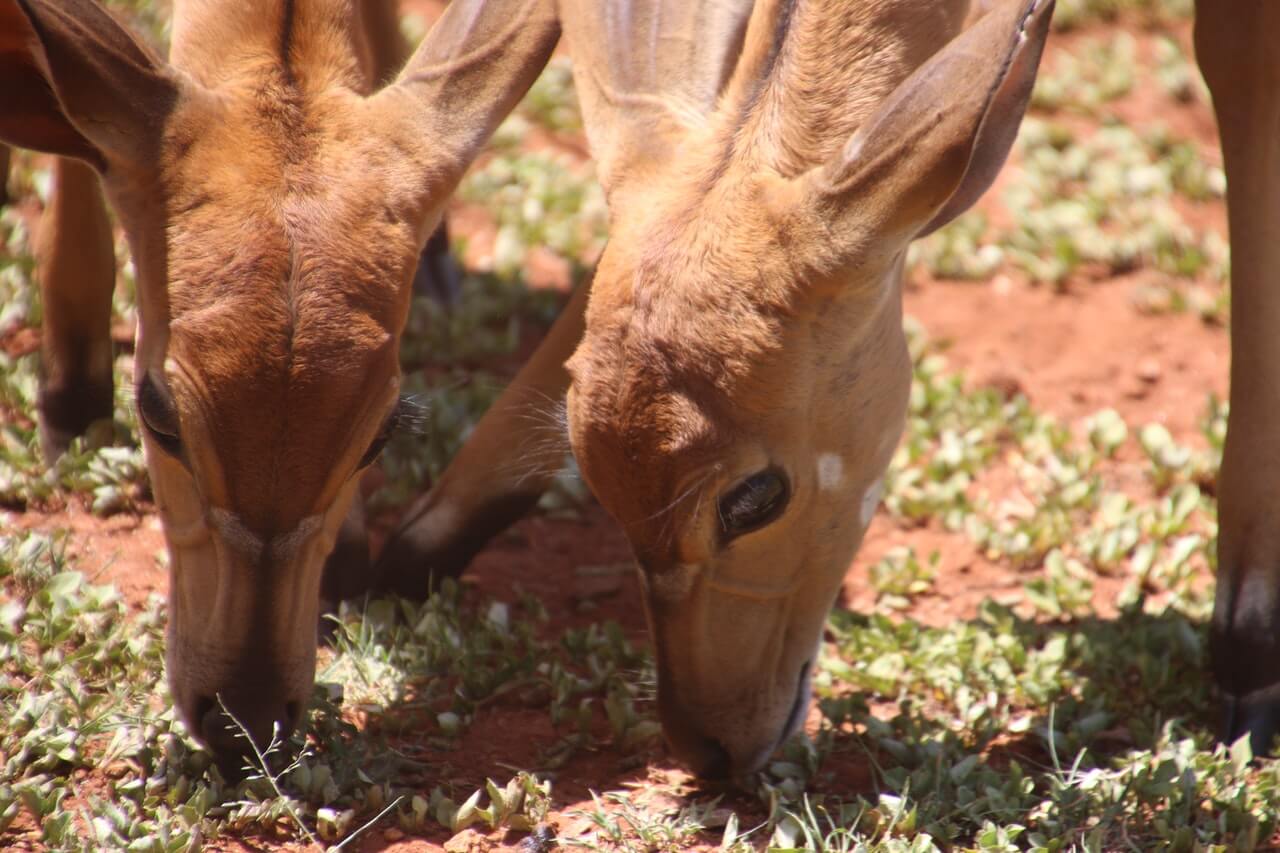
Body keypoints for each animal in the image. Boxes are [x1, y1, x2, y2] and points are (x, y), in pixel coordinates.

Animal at [369, 0, 1280, 779]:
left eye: (752, 497)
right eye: (594, 479)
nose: (707, 747)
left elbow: (1239, 63)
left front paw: (1251, 657)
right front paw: (414, 545)